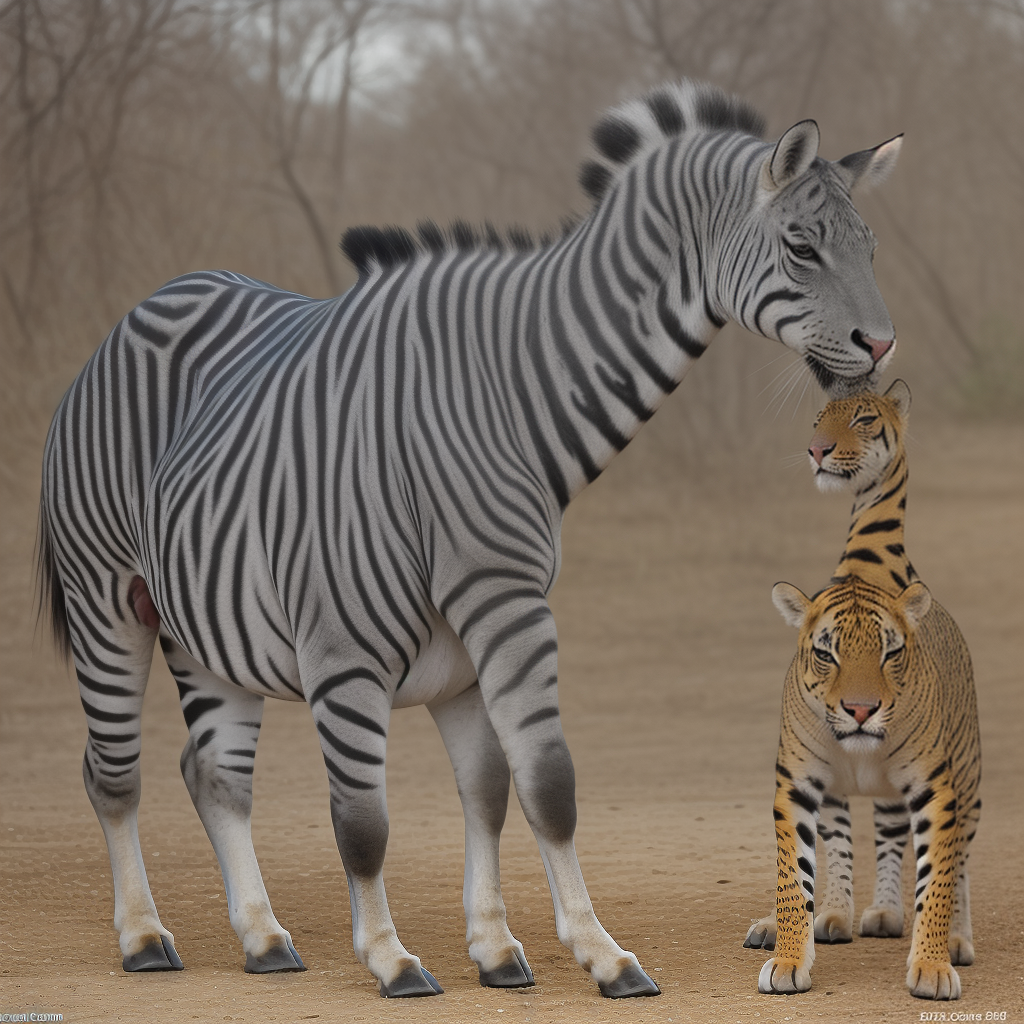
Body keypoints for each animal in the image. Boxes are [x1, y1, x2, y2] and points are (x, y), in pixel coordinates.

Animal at [38, 79, 901, 998]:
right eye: (802, 248)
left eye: (869, 248)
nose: (883, 346)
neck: (509, 400)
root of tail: (146, 304)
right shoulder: (369, 644)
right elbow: (388, 814)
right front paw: (403, 957)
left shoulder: (475, 637)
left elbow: (500, 789)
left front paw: (505, 946)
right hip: (106, 605)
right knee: (114, 774)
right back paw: (143, 936)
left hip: (202, 624)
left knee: (215, 776)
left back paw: (264, 938)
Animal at [744, 380, 981, 1000]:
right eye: (826, 653)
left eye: (890, 653)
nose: (858, 709)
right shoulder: (798, 783)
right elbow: (794, 874)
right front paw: (790, 954)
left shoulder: (936, 788)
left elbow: (938, 879)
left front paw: (932, 964)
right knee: (859, 840)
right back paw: (837, 914)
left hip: (968, 782)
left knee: (956, 862)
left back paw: (949, 937)